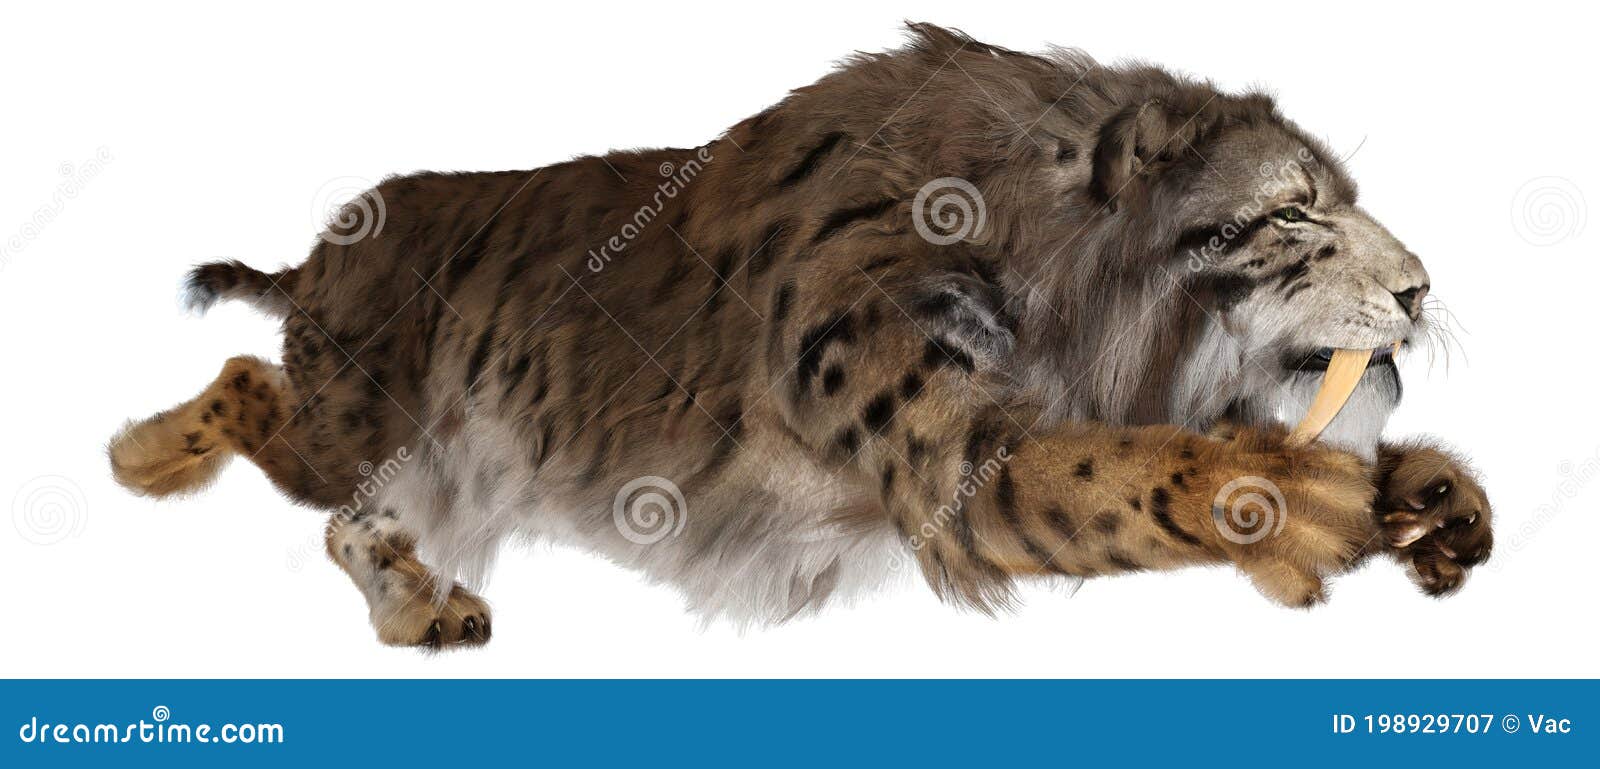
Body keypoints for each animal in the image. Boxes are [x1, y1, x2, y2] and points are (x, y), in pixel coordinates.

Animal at [108, 24, 1491, 648]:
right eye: (1295, 213)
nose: (1424, 290)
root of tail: (329, 238)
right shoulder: (953, 459)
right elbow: (1120, 469)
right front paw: (1280, 500)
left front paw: (1423, 495)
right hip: (361, 427)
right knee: (258, 394)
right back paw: (151, 459)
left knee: (342, 500)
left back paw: (419, 606)